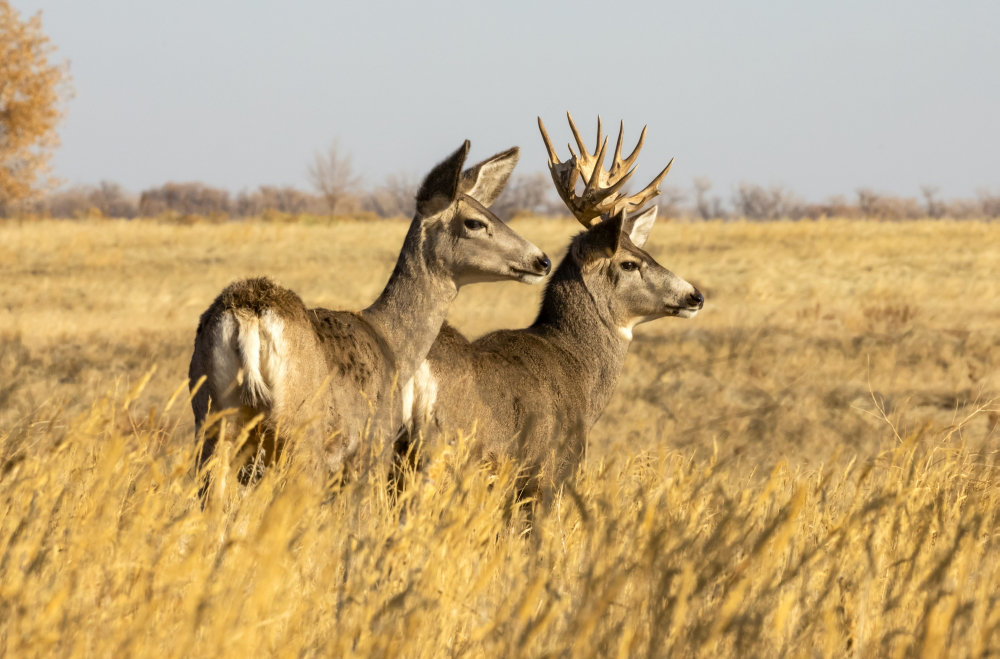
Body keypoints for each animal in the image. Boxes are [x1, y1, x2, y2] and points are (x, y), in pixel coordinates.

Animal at [188, 141, 552, 489]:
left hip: (211, 419)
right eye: (475, 222)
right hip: (301, 432)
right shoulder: (374, 440)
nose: (542, 260)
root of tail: (250, 313)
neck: (393, 345)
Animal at [394, 114, 704, 512]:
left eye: (646, 253)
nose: (695, 295)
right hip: (439, 454)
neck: (577, 365)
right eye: (629, 263)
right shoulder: (549, 471)